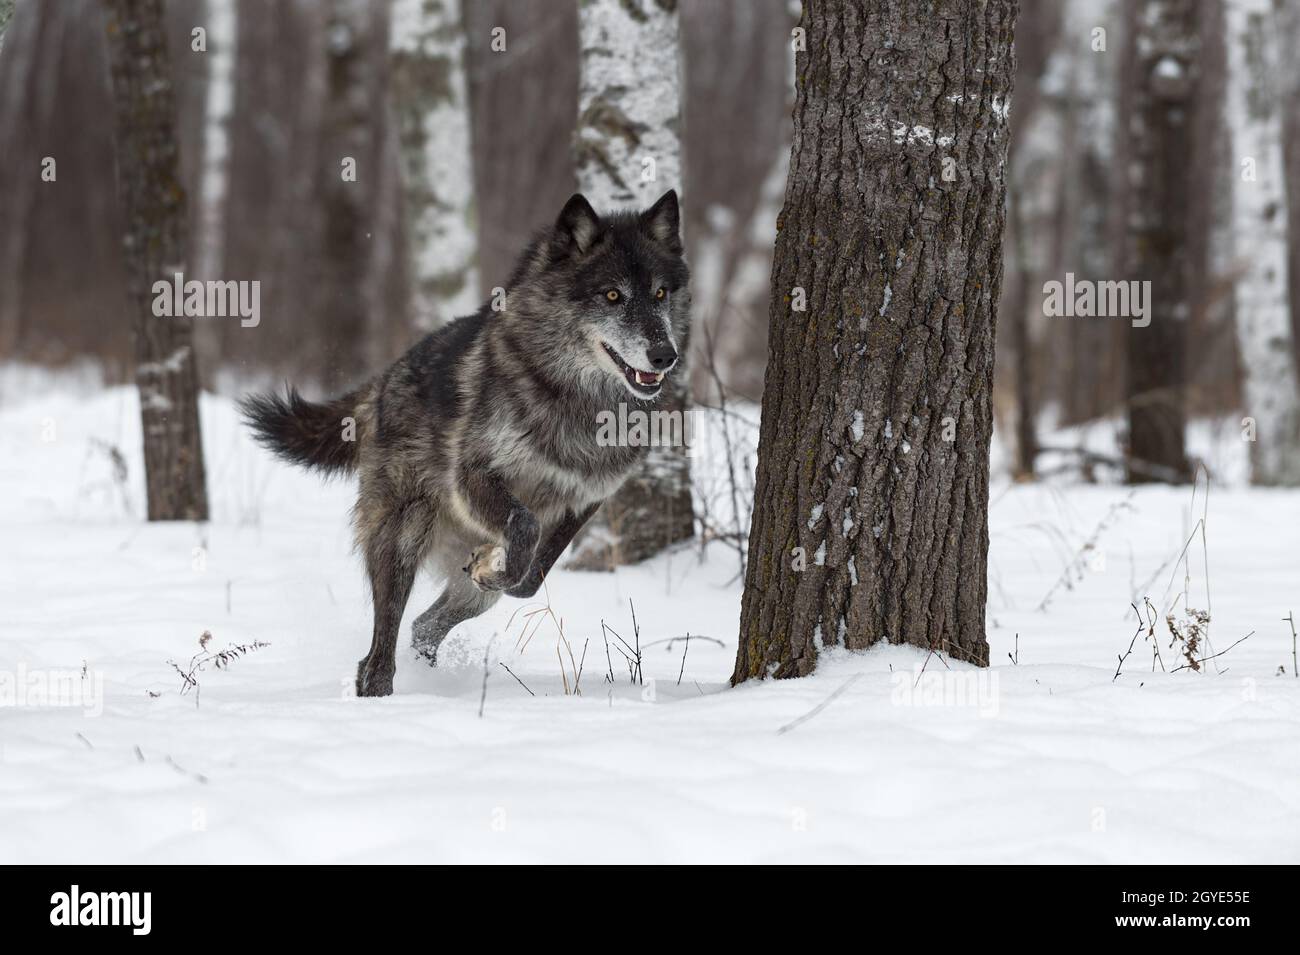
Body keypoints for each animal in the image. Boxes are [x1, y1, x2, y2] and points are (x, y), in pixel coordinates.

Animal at [241, 190, 689, 696]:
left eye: (661, 294)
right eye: (612, 295)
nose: (665, 355)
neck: (577, 402)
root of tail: (384, 379)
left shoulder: (585, 500)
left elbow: (529, 577)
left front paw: (492, 564)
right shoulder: (473, 475)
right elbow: (523, 524)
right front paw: (497, 561)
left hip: (465, 591)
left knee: (425, 625)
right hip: (405, 529)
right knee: (381, 642)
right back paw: (377, 690)